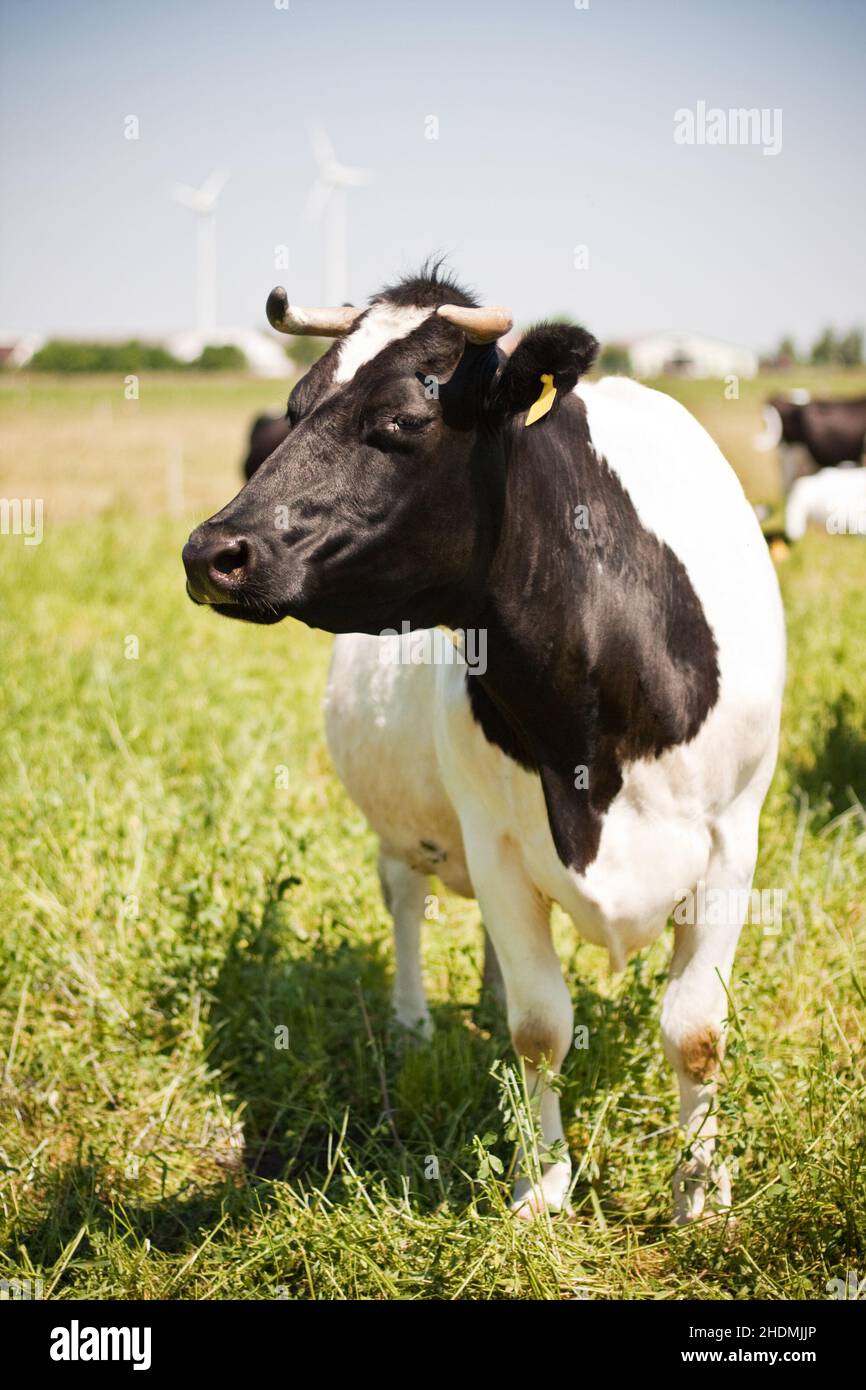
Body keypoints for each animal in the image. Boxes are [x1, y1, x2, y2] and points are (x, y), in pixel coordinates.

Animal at [183, 264, 785, 1223]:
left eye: (403, 418)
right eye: (296, 405)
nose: (212, 551)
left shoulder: (736, 836)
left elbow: (695, 1030)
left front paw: (701, 1193)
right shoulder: (496, 843)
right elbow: (539, 1029)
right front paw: (541, 1183)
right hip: (410, 825)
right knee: (404, 896)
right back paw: (412, 1025)